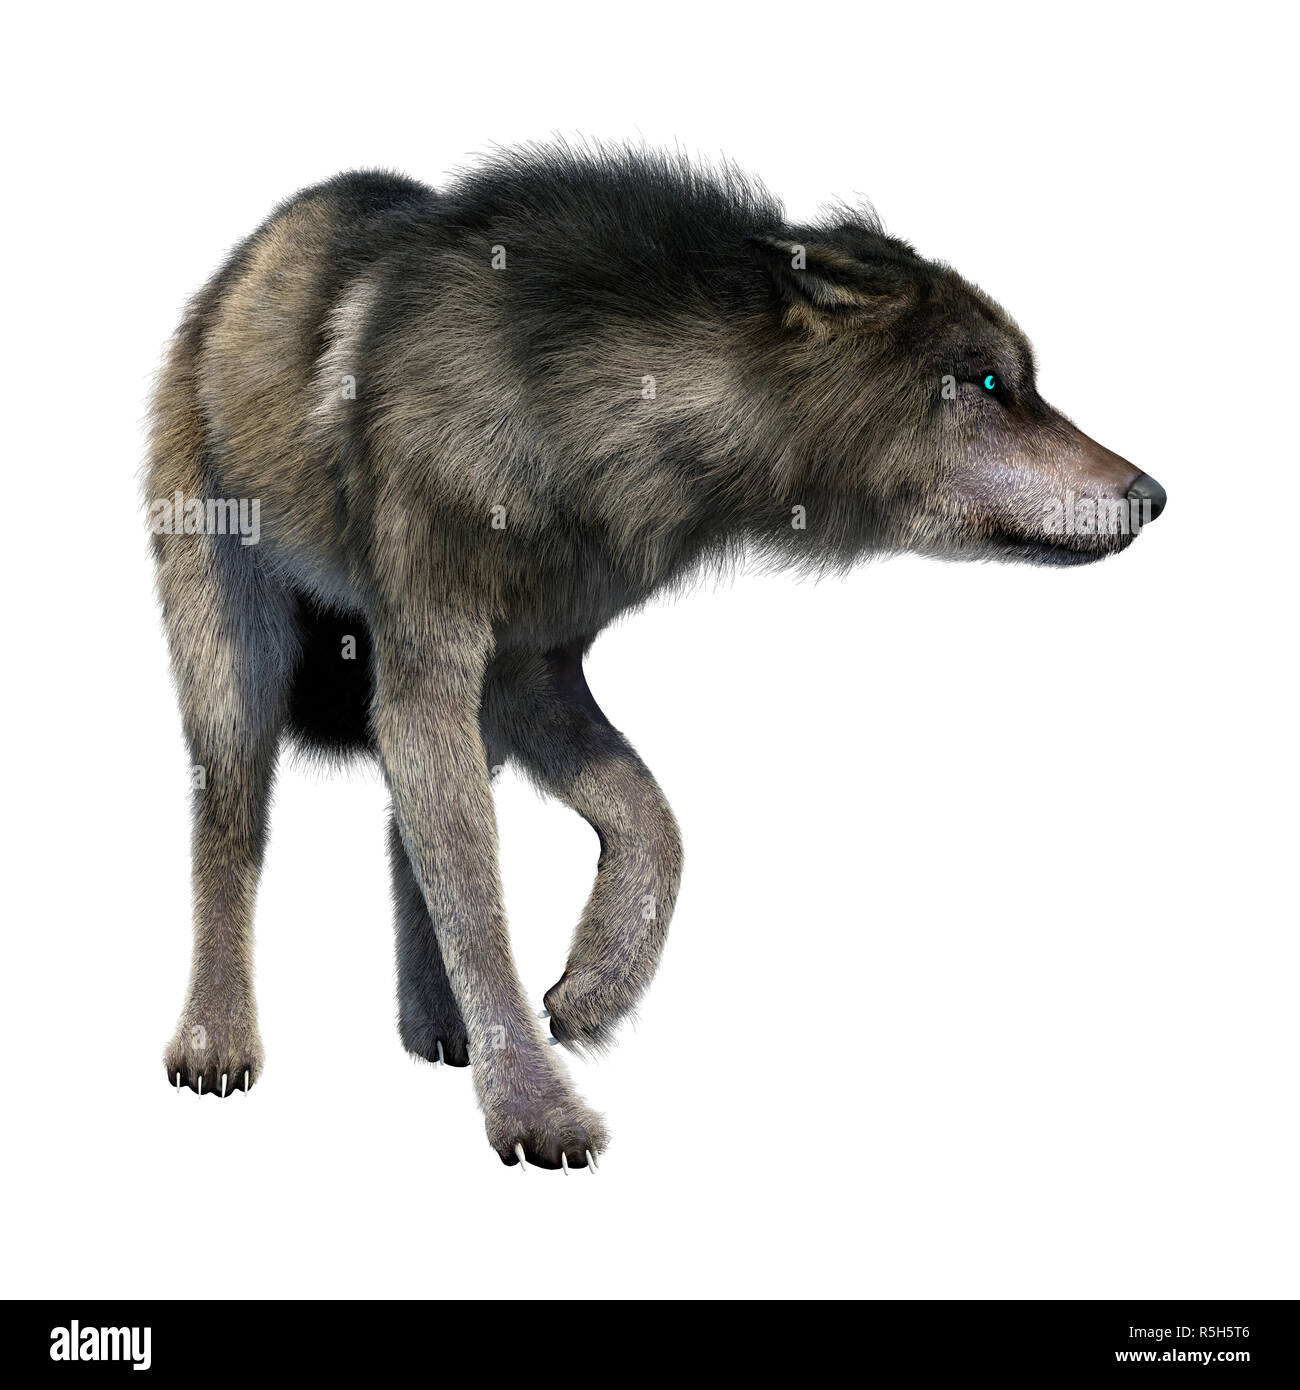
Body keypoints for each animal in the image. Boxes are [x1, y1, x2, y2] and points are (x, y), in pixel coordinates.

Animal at [147, 144, 1165, 1169]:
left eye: (1017, 381)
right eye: (990, 384)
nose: (1153, 495)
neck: (587, 408)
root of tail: (244, 260)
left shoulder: (530, 666)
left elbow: (652, 827)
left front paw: (593, 988)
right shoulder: (434, 661)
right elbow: (479, 897)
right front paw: (535, 1111)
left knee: (406, 831)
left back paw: (438, 1028)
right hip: (239, 670)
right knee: (229, 832)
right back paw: (216, 1042)